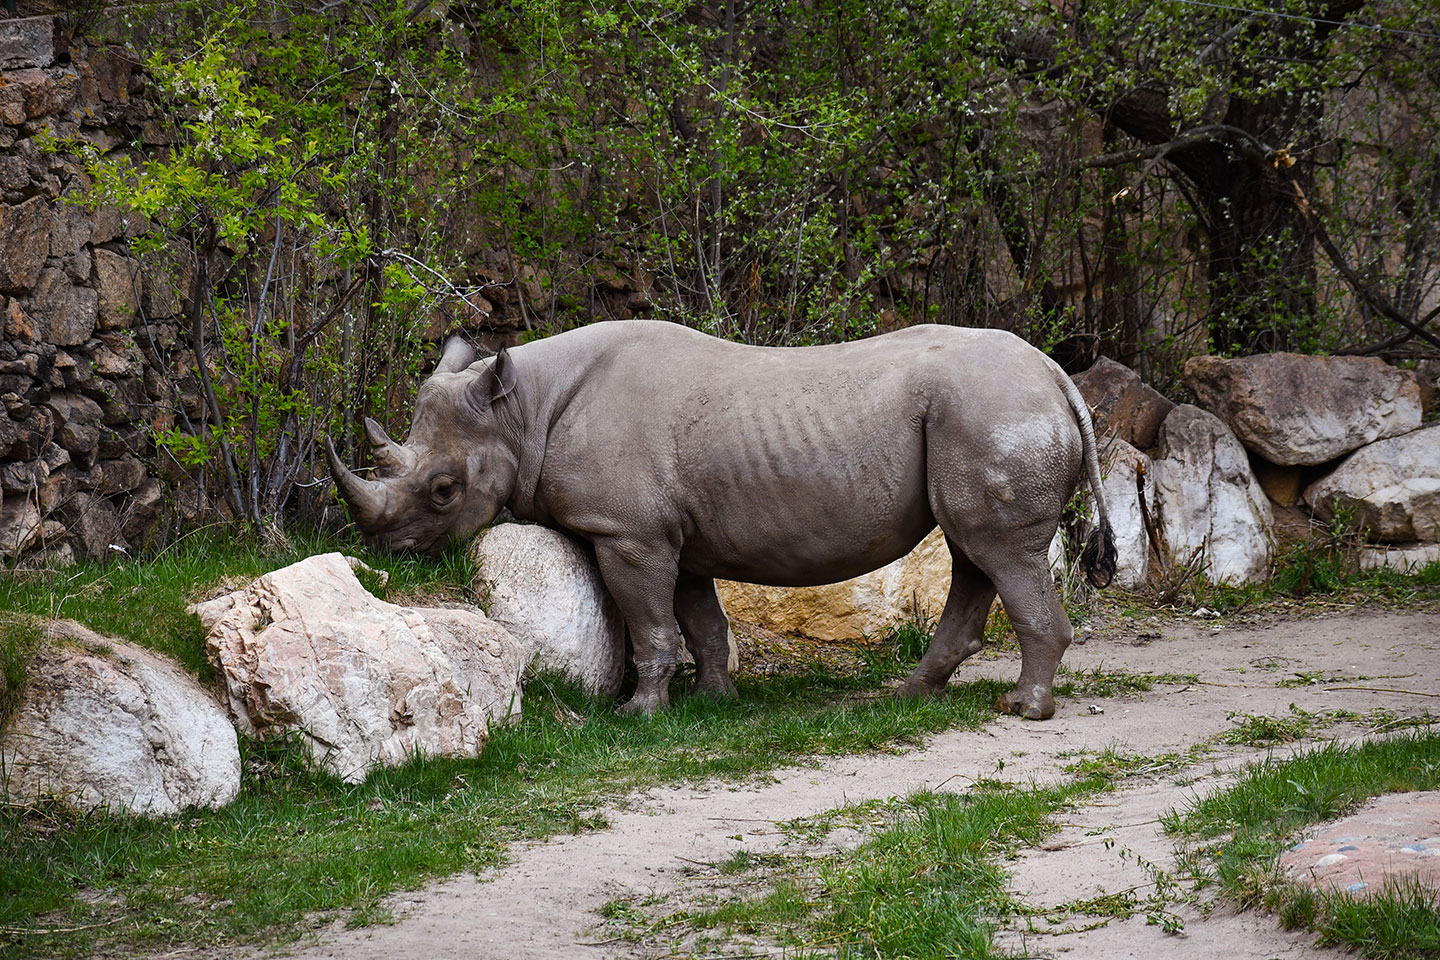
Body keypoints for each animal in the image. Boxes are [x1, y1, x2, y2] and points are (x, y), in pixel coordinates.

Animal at [327, 320, 1115, 718]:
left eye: (442, 490)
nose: (390, 549)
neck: (523, 410)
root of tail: (1057, 377)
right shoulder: (672, 534)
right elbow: (698, 619)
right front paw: (713, 699)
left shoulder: (628, 533)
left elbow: (650, 624)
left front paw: (640, 714)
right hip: (986, 411)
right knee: (971, 550)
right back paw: (912, 695)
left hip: (994, 410)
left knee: (996, 550)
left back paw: (1024, 709)